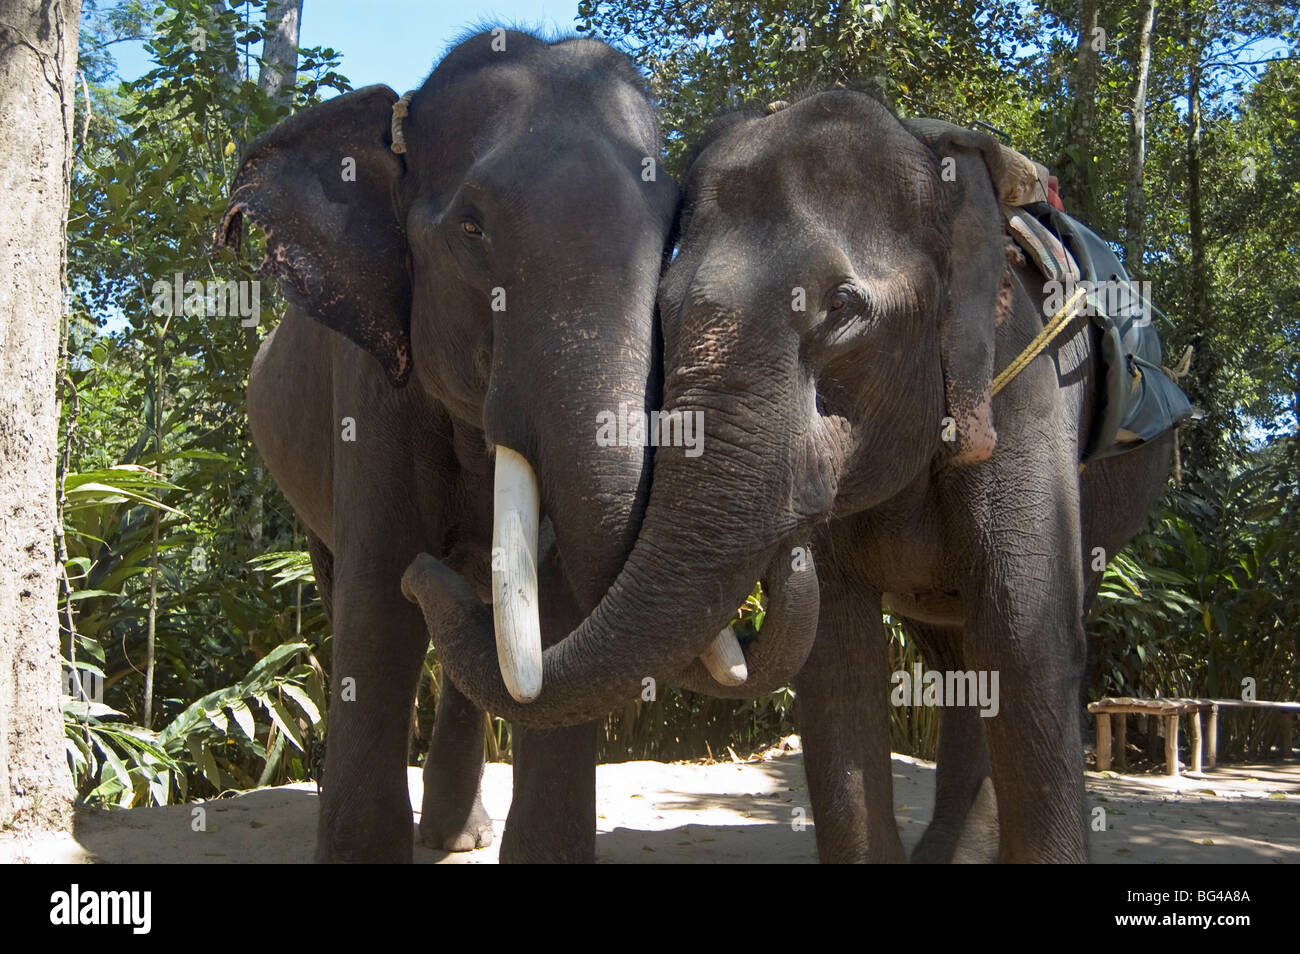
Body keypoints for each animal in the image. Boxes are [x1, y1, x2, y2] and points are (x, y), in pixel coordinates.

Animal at [218, 30, 680, 862]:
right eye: (472, 228)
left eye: (672, 235)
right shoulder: (371, 387)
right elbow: (378, 608)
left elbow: (555, 611)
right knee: (343, 591)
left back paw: (458, 835)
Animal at [402, 88, 1176, 863]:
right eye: (663, 308)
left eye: (843, 307)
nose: (417, 574)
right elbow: (836, 659)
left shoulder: (1027, 389)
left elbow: (1024, 636)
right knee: (950, 651)